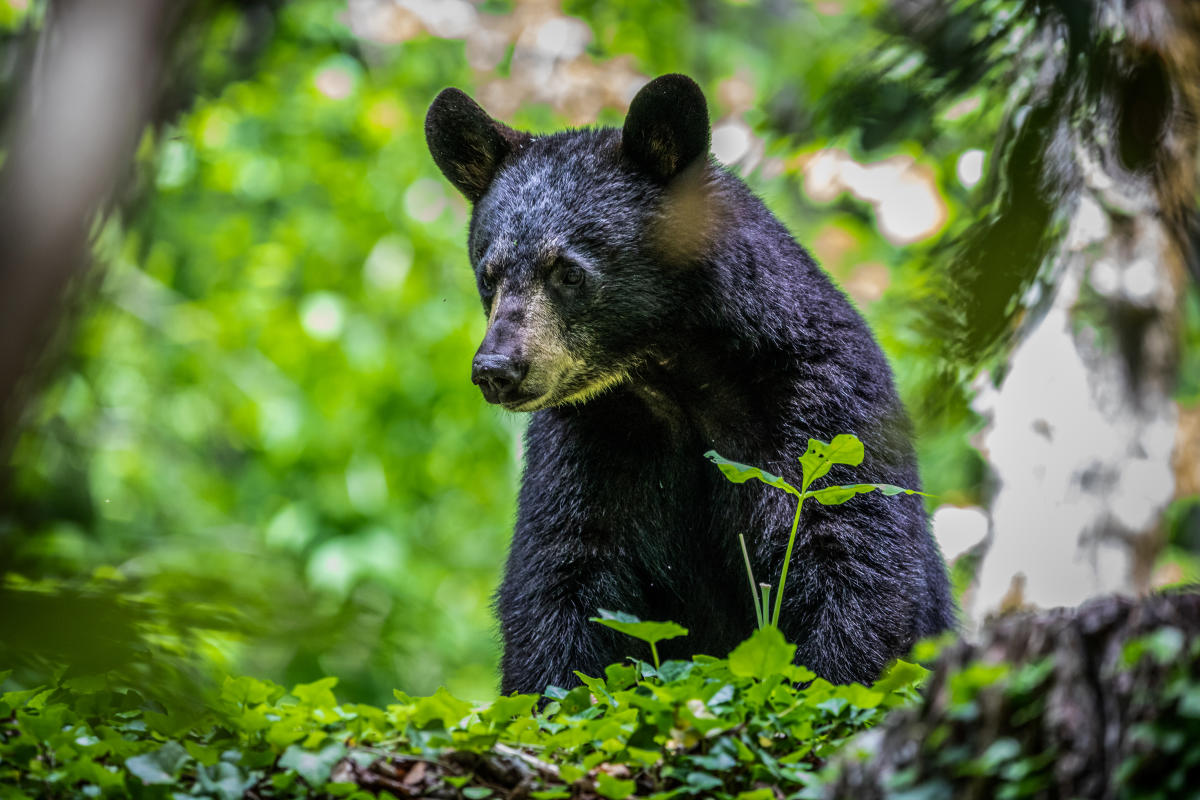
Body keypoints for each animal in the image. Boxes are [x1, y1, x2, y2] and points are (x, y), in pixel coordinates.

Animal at [424, 74, 955, 695]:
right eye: (490, 276)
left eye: (569, 272)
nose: (497, 369)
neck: (677, 378)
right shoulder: (591, 439)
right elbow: (564, 573)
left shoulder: (825, 408)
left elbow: (850, 556)